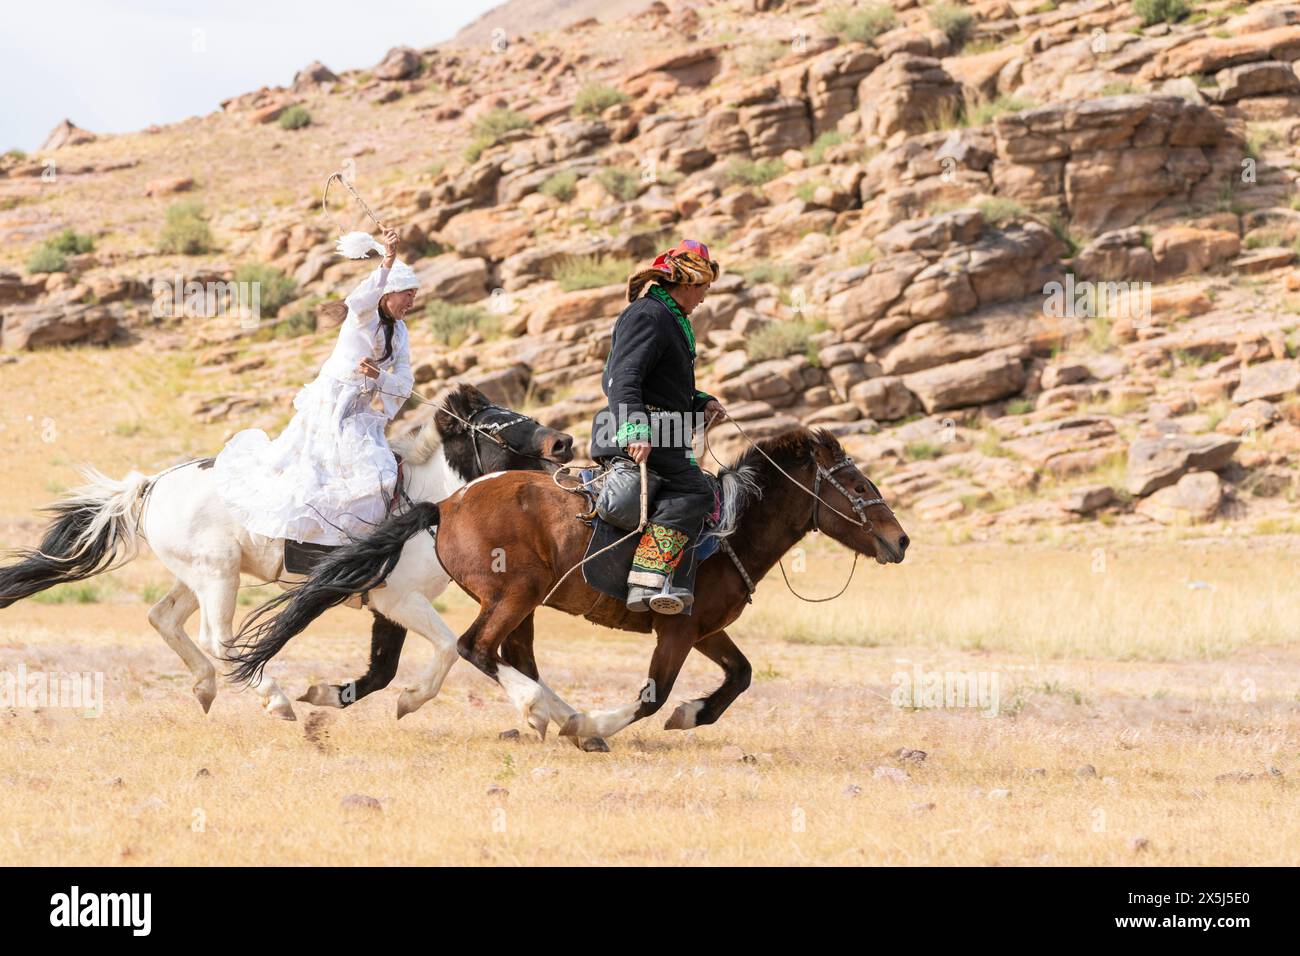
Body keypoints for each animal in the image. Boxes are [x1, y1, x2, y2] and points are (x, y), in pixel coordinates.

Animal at [0, 383, 574, 720]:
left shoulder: (385, 606)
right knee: (218, 637)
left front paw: (333, 695)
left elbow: (383, 670)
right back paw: (270, 697)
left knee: (162, 617)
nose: (564, 443)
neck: (426, 499)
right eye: (500, 425)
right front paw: (421, 700)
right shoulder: (400, 599)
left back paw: (206, 688)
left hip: (197, 576)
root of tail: (152, 485)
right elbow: (447, 648)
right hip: (219, 576)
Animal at [229, 427, 908, 745]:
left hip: (522, 603)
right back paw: (542, 714)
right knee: (476, 649)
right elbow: (651, 696)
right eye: (858, 485)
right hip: (517, 594)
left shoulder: (703, 630)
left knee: (505, 655)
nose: (899, 541)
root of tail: (446, 505)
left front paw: (693, 715)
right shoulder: (677, 628)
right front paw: (601, 724)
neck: (729, 529)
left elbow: (737, 678)